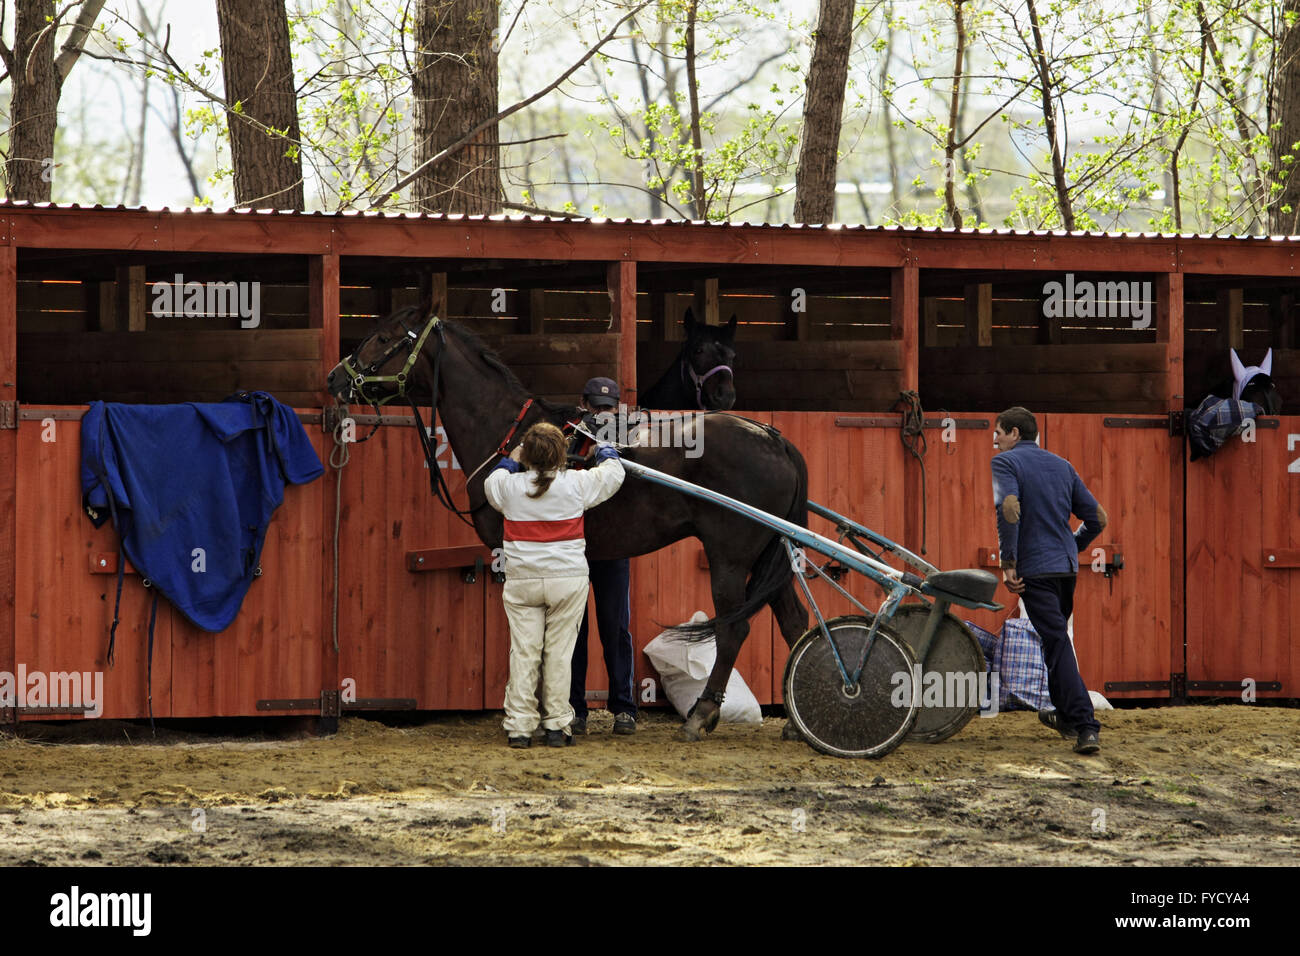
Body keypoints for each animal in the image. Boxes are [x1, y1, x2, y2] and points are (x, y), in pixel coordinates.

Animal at [326, 306, 810, 741]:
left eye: (383, 338)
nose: (335, 377)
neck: (513, 433)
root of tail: (772, 437)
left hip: (730, 556)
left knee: (733, 629)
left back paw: (701, 715)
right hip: (768, 554)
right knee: (794, 621)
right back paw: (794, 719)